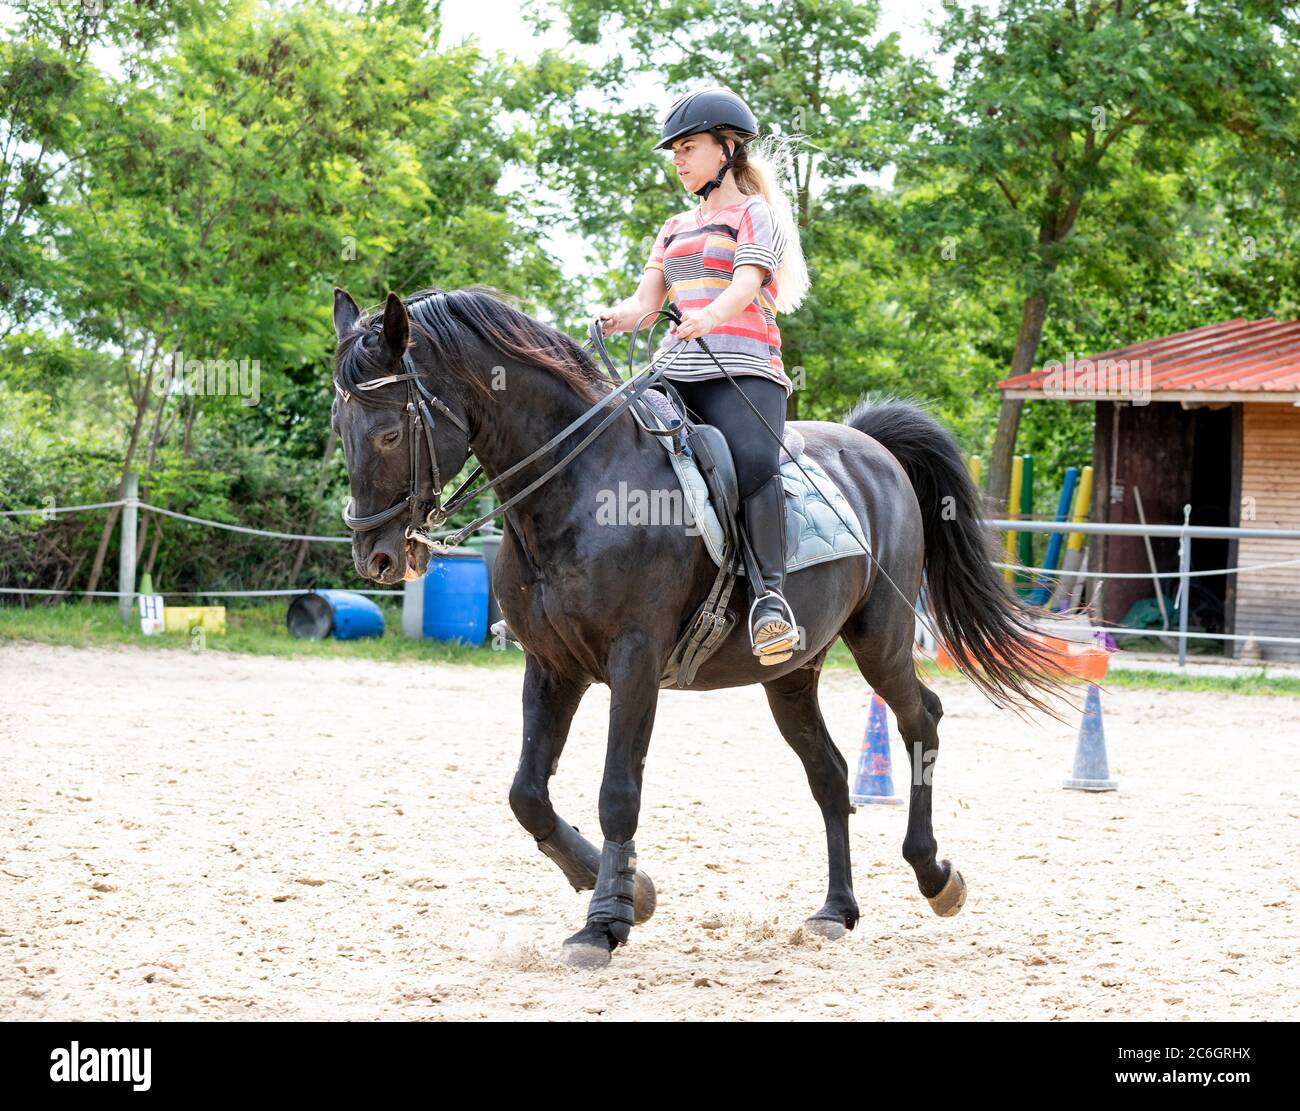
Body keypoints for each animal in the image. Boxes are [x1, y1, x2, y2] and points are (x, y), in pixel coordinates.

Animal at [330, 284, 1075, 968]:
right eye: (341, 427)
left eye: (390, 432)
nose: (377, 556)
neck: (580, 486)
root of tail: (871, 447)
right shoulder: (552, 666)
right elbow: (527, 794)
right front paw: (634, 891)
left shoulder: (634, 661)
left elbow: (617, 793)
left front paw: (605, 922)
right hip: (790, 676)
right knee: (831, 774)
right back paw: (836, 910)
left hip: (881, 639)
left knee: (922, 719)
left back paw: (935, 875)